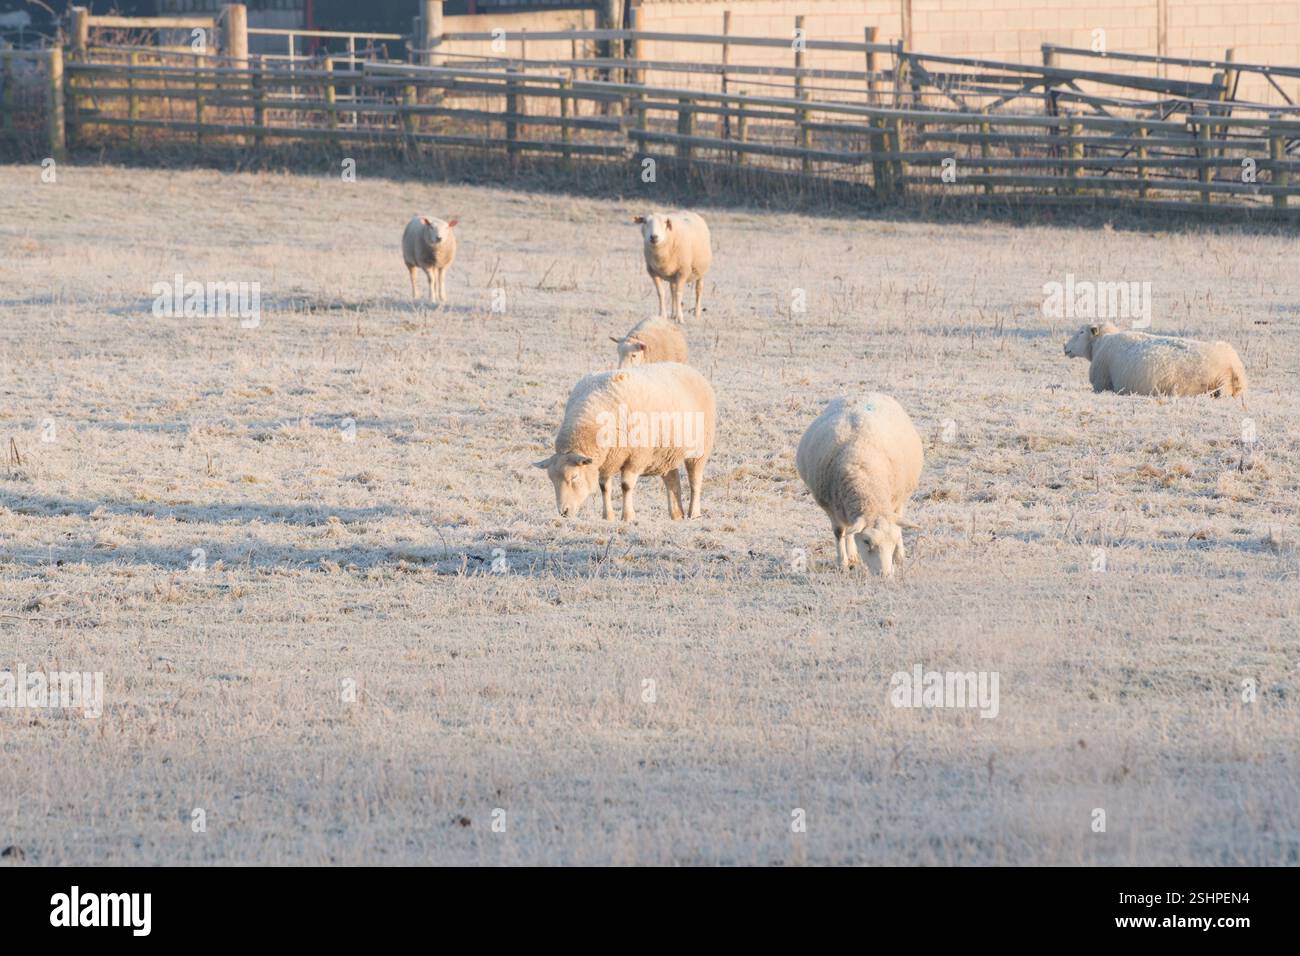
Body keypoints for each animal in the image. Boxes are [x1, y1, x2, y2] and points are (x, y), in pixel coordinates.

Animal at [534, 362, 716, 522]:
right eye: (552, 480)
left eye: (574, 477)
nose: (563, 512)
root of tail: (689, 369)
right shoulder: (605, 462)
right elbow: (604, 488)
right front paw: (607, 517)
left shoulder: (636, 457)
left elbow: (626, 486)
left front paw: (628, 517)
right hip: (666, 453)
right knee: (672, 480)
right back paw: (677, 514)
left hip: (701, 449)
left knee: (695, 482)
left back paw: (694, 513)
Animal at [795, 393, 924, 576]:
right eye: (867, 542)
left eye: (891, 543)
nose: (886, 576)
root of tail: (863, 393)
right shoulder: (831, 507)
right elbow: (839, 532)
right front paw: (842, 563)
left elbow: (897, 529)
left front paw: (898, 557)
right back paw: (852, 556)